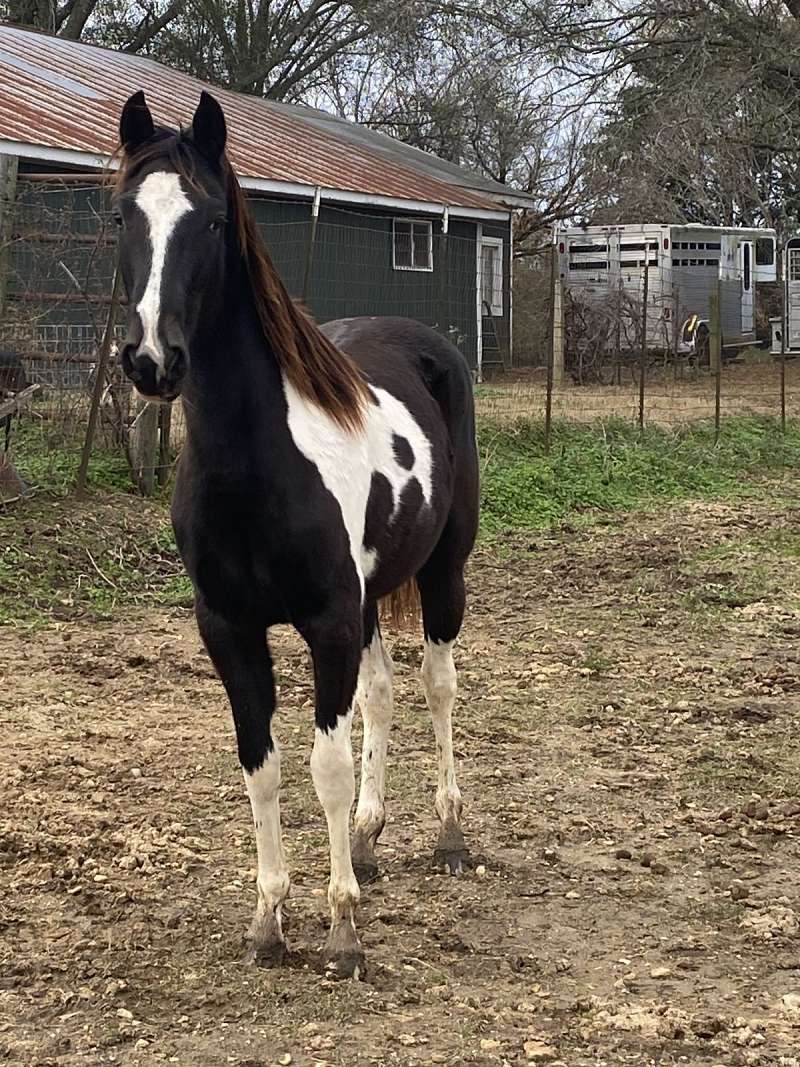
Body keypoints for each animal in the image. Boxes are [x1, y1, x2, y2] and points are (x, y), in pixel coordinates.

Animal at [113, 90, 479, 979]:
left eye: (212, 220)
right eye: (120, 216)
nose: (151, 359)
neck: (258, 463)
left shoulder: (327, 621)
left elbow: (328, 764)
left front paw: (342, 927)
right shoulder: (230, 629)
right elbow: (264, 766)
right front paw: (269, 917)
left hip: (443, 575)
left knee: (437, 686)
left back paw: (449, 834)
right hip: (375, 598)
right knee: (381, 694)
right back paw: (371, 840)